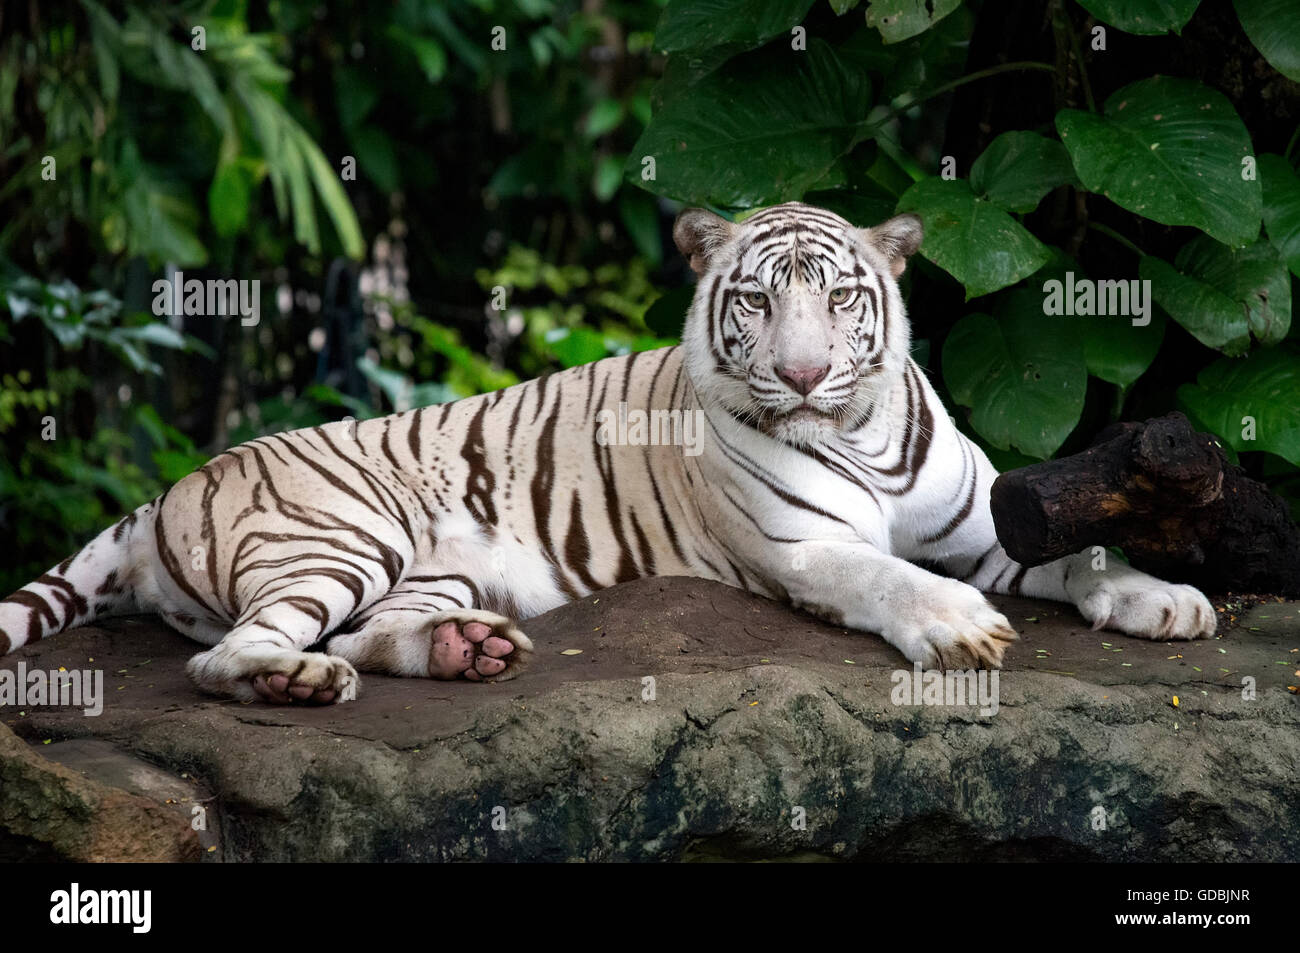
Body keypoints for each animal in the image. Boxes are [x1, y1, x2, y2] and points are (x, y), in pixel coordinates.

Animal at [0, 202, 1217, 705]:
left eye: (838, 297)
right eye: (759, 301)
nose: (805, 376)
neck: (859, 431)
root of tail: (172, 485)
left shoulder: (991, 519)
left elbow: (1084, 552)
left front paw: (1166, 599)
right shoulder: (806, 550)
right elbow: (888, 575)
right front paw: (961, 627)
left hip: (427, 571)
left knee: (372, 631)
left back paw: (464, 654)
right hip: (340, 536)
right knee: (229, 658)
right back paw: (298, 681)